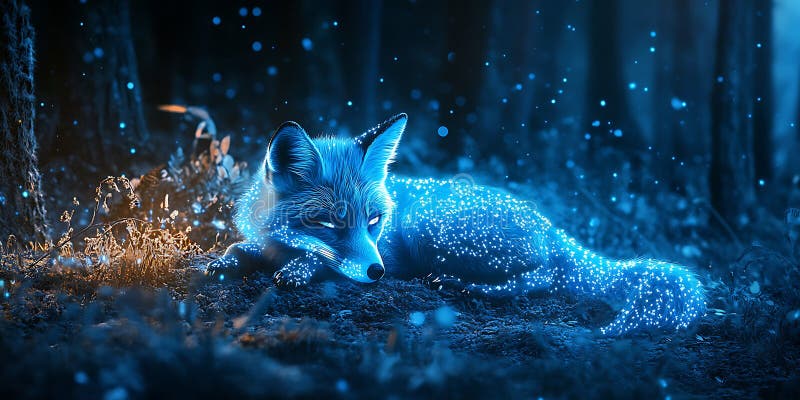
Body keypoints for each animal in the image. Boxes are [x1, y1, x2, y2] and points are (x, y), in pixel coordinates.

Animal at [205, 113, 706, 335]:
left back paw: (465, 287)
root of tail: (552, 225)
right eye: (327, 224)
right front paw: (224, 261)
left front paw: (299, 270)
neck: (280, 244)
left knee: (543, 277)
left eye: (375, 220)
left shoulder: (380, 253)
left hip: (435, 232)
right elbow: (238, 250)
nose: (378, 273)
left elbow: (321, 266)